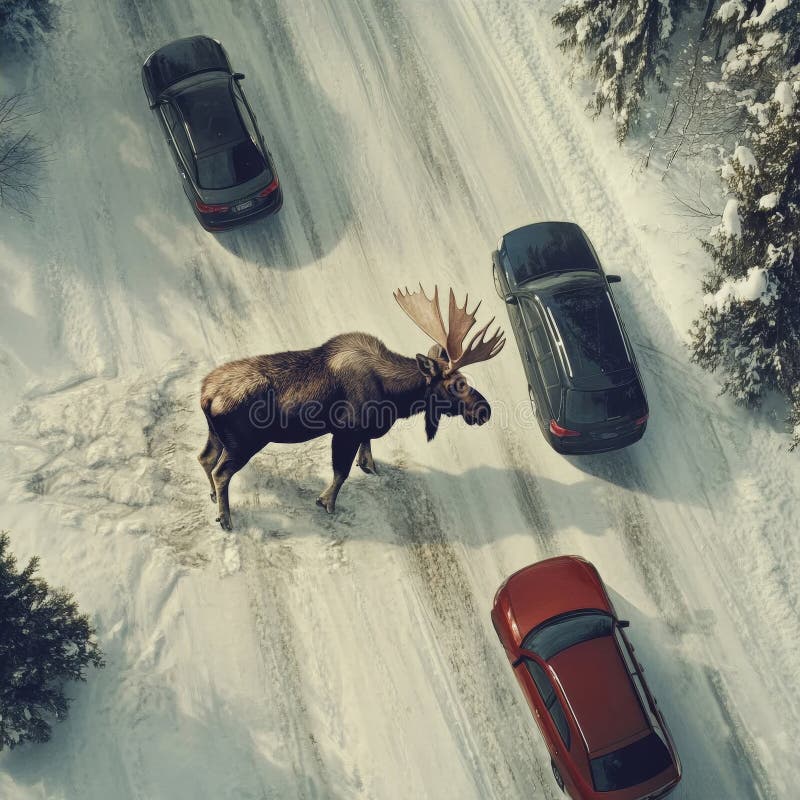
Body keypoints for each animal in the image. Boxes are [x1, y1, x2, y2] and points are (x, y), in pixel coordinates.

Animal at [198, 285, 505, 529]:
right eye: (457, 384)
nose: (484, 410)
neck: (395, 397)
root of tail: (206, 395)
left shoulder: (361, 429)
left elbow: (364, 451)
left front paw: (368, 465)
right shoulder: (345, 430)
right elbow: (341, 472)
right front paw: (326, 502)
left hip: (216, 435)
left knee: (205, 459)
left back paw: (212, 497)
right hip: (244, 442)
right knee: (221, 471)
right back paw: (225, 519)